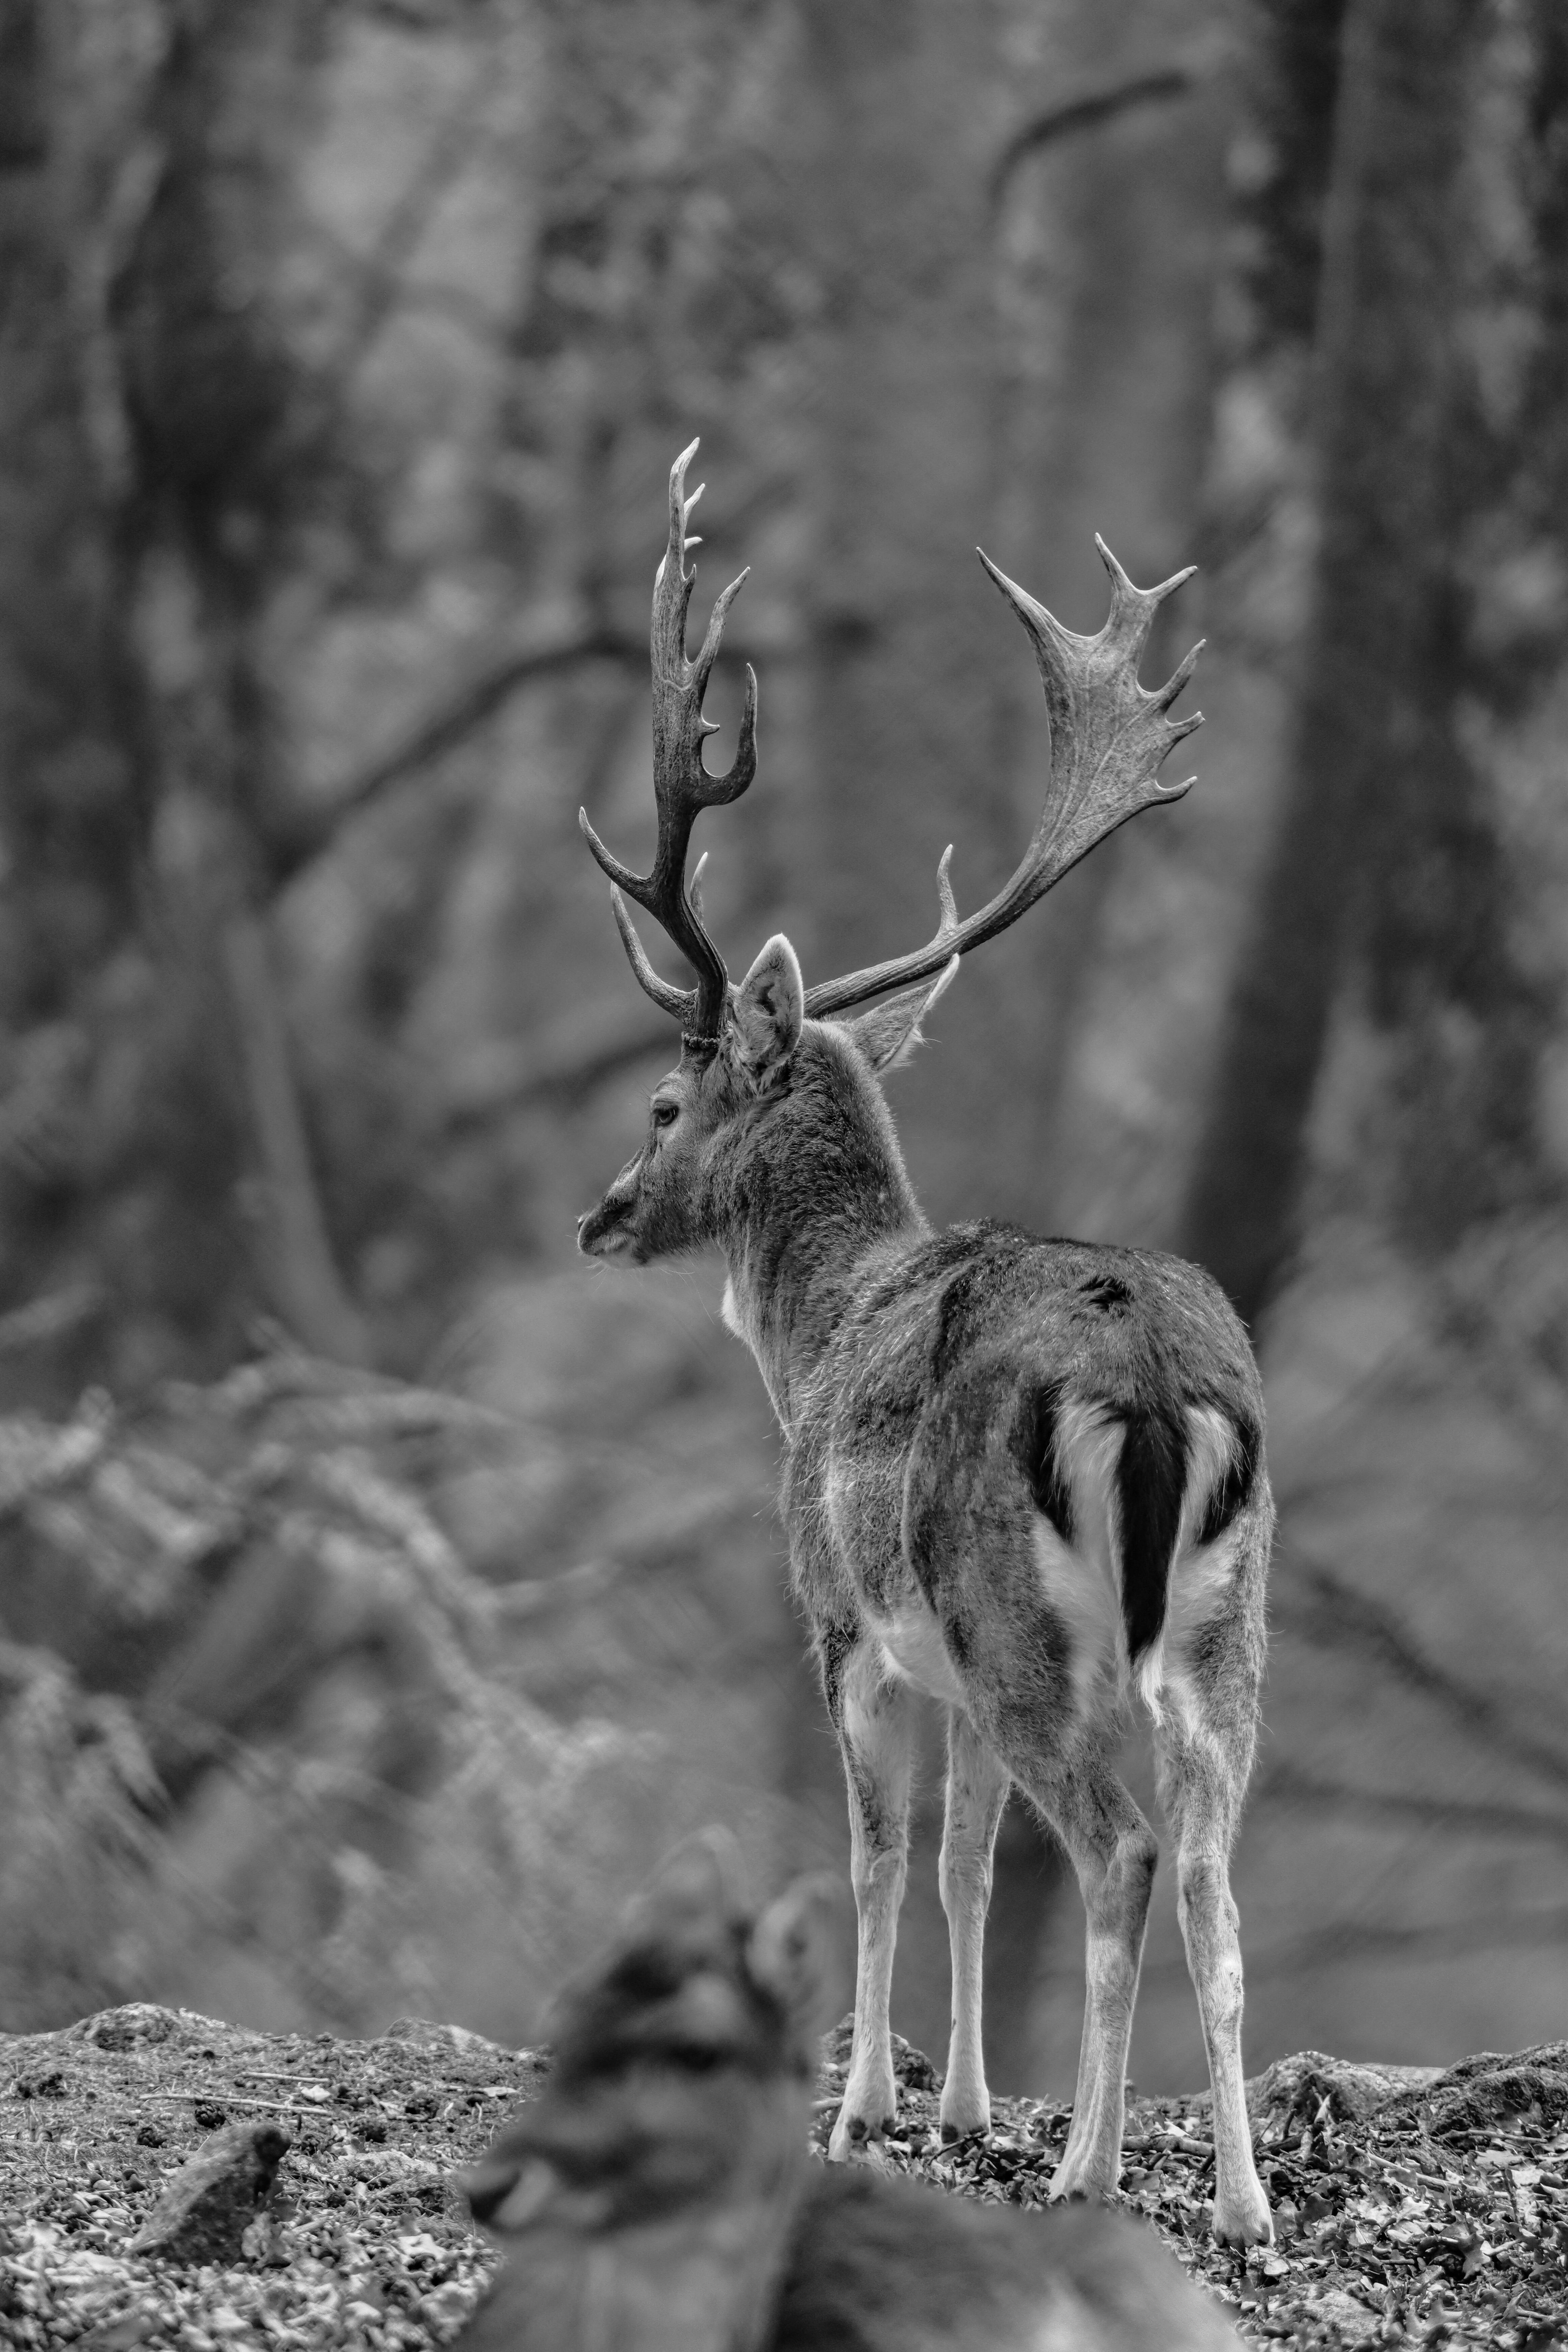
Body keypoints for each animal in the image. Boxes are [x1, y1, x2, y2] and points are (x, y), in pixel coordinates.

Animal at [576, 443, 1274, 2250]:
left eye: (665, 1104)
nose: (600, 1215)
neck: (818, 1330)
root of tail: (1156, 1390)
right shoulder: (946, 1669)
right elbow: (961, 1863)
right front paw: (957, 2102)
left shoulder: (841, 1617)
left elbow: (877, 1855)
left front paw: (863, 2114)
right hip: (1220, 1641)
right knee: (1212, 1879)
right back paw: (1239, 2202)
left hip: (1012, 1614)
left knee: (1117, 1857)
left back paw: (1092, 2171)